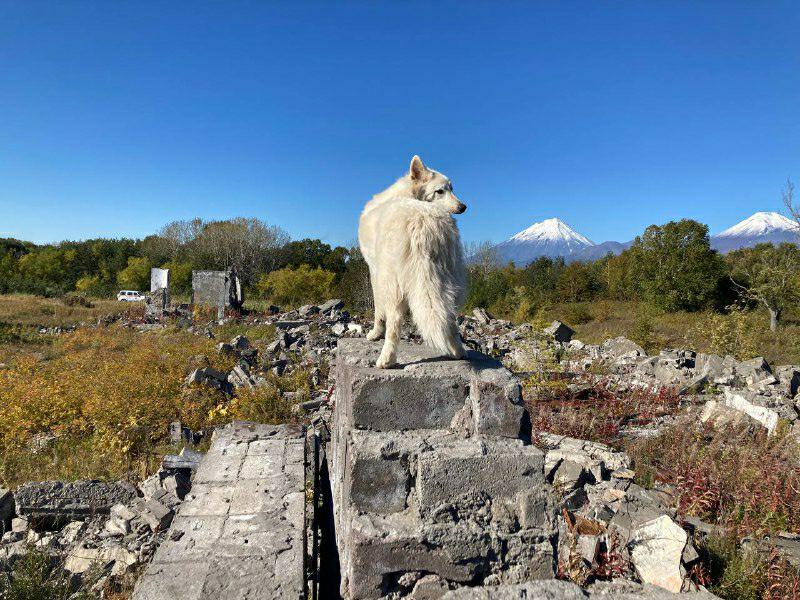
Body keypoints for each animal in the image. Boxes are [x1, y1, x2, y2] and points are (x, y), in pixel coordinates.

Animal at [358, 155, 466, 368]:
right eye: (441, 191)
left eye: (451, 189)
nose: (463, 207)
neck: (409, 194)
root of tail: (422, 220)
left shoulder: (375, 272)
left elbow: (378, 309)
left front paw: (375, 334)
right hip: (448, 278)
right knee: (449, 316)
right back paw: (458, 351)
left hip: (393, 282)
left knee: (395, 322)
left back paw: (386, 360)